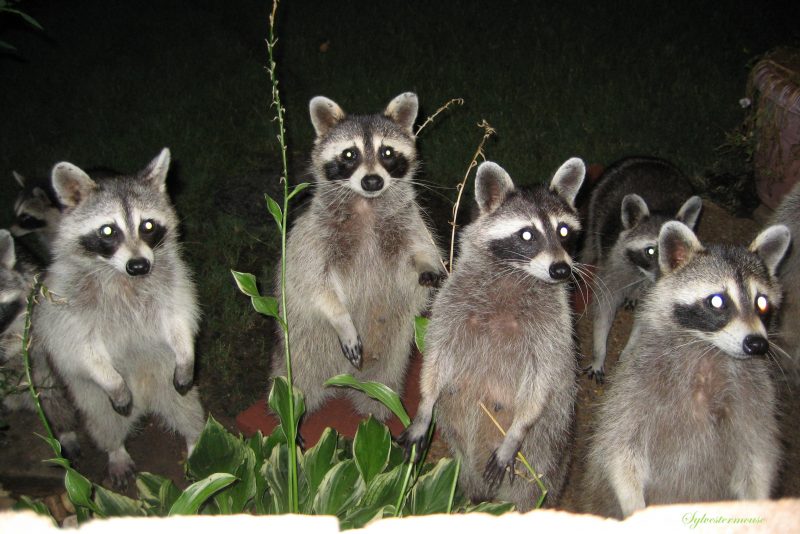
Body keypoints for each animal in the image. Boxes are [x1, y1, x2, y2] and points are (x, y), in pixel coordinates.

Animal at [31, 149, 204, 486]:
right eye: (108, 231)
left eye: (147, 226)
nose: (138, 265)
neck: (125, 277)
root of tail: (146, 404)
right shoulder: (64, 300)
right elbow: (78, 347)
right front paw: (109, 378)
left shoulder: (174, 280)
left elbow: (178, 319)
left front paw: (186, 351)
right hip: (93, 398)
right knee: (104, 422)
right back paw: (116, 450)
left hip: (168, 381)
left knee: (187, 408)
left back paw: (196, 441)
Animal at [273, 92, 444, 421]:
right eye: (350, 154)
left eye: (387, 152)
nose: (372, 181)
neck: (367, 203)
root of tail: (342, 380)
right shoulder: (313, 237)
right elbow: (312, 282)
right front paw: (341, 317)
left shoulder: (409, 224)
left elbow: (420, 254)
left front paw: (426, 265)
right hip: (303, 345)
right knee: (297, 382)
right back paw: (291, 417)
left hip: (392, 348)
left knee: (383, 380)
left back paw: (376, 414)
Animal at [399, 159, 584, 510]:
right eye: (526, 234)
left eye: (564, 231)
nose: (561, 270)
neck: (516, 274)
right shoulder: (452, 301)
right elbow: (437, 357)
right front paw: (425, 405)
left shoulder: (554, 326)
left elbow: (544, 377)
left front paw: (517, 430)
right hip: (465, 463)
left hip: (546, 455)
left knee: (530, 489)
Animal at [581, 221, 790, 518]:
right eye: (717, 301)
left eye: (762, 303)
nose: (757, 344)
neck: (710, 351)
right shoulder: (638, 382)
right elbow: (620, 444)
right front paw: (634, 504)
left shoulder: (756, 399)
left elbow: (758, 456)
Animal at [582, 157, 702, 383]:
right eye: (651, 251)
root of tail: (650, 160)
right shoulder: (614, 263)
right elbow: (604, 306)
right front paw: (599, 351)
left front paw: (629, 351)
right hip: (597, 203)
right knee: (590, 245)